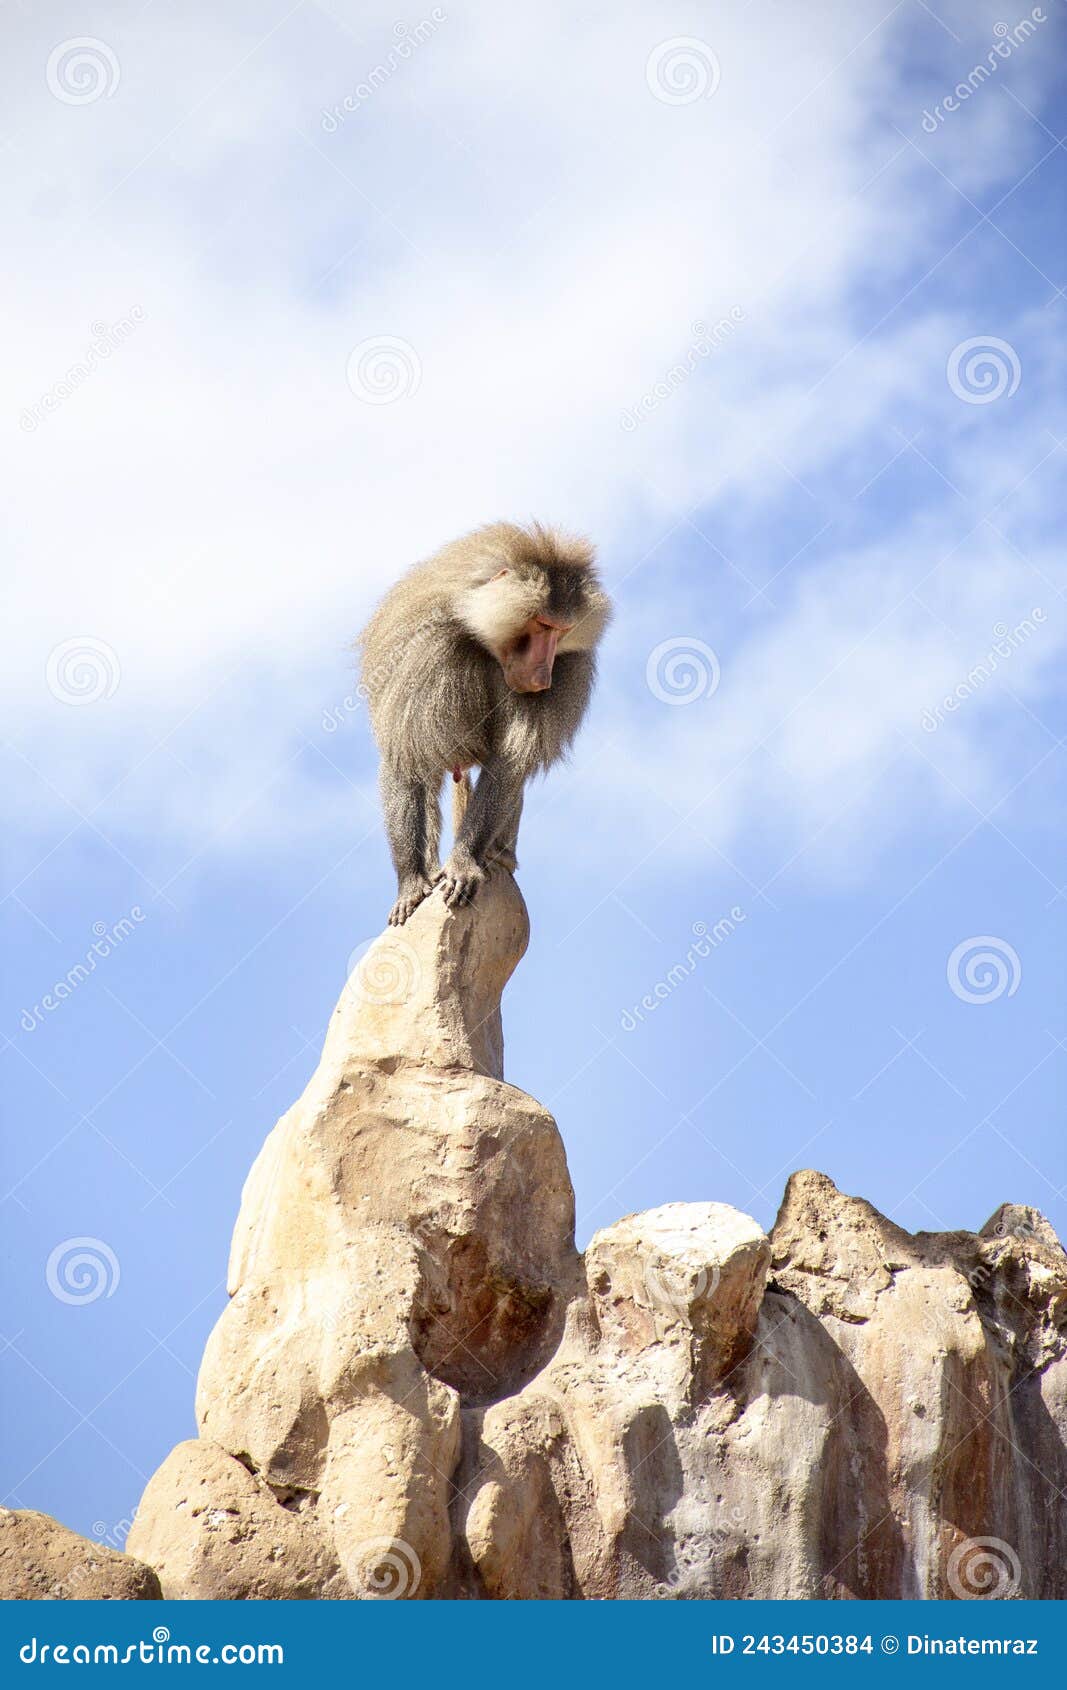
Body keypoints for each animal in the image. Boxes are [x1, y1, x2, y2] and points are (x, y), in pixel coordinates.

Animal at [358, 521, 611, 925]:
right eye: (542, 625)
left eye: (562, 631)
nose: (543, 678)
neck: (478, 631)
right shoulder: (423, 651)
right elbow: (407, 757)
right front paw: (411, 883)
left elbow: (509, 763)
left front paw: (464, 864)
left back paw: (497, 857)